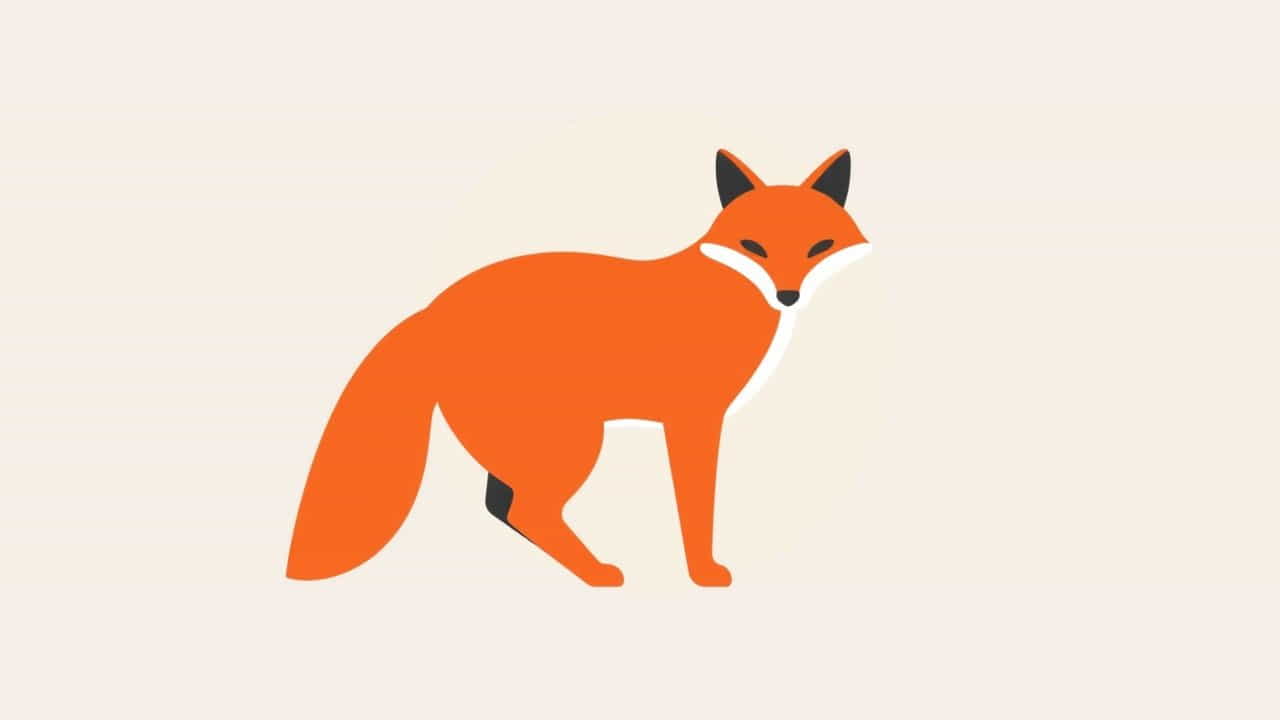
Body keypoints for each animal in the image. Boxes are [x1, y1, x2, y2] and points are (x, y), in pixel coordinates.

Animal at [286, 149, 872, 586]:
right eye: (754, 246)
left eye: (819, 245)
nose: (788, 295)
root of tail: (432, 311)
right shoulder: (694, 420)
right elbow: (696, 510)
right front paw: (703, 573)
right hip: (574, 444)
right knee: (525, 510)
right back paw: (599, 574)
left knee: (501, 505)